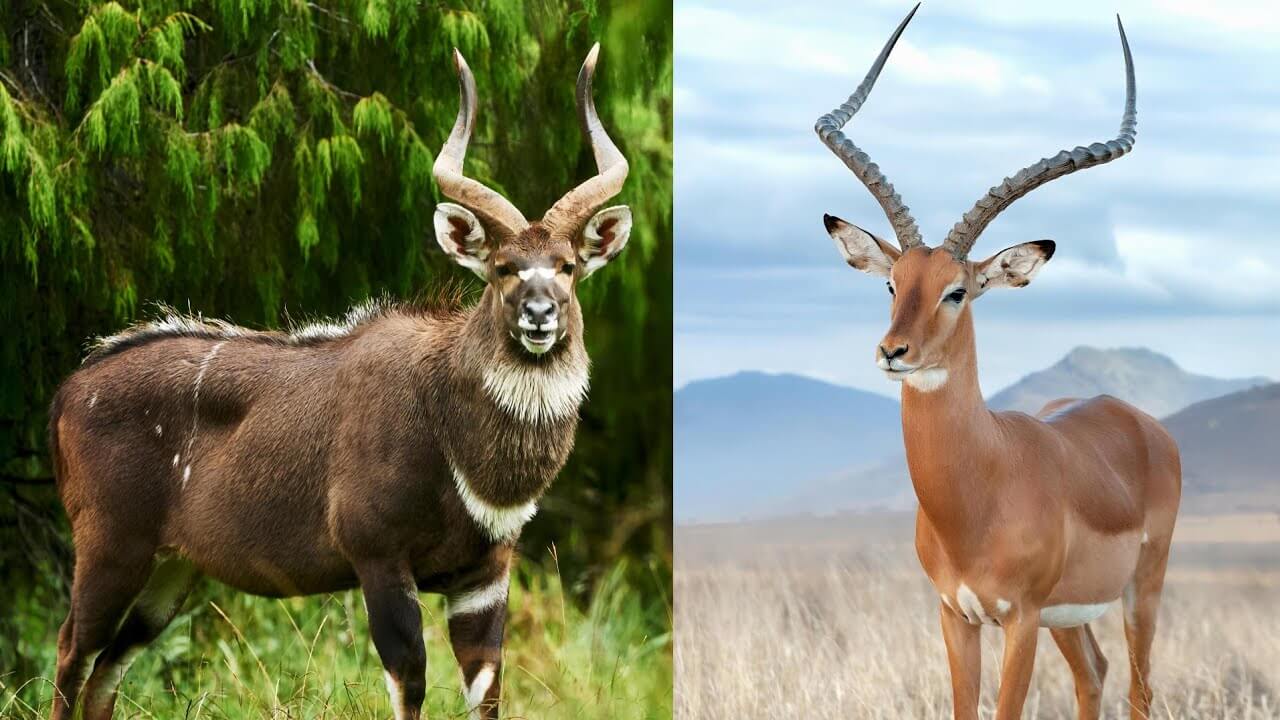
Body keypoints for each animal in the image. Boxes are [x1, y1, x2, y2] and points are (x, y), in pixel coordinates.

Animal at [46, 44, 631, 720]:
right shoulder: (377, 555)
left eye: (567, 266)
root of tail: (67, 392)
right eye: (503, 267)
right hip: (110, 546)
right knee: (72, 651)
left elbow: (486, 691)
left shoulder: (485, 574)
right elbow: (408, 681)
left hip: (170, 573)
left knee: (106, 672)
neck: (450, 429)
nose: (540, 315)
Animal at [815, 7, 1180, 719]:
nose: (893, 351)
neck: (979, 489)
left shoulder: (1020, 618)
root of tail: (1142, 423)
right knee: (1094, 673)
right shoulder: (955, 616)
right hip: (1071, 618)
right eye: (892, 283)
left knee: (1140, 688)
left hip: (1139, 592)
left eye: (957, 291)